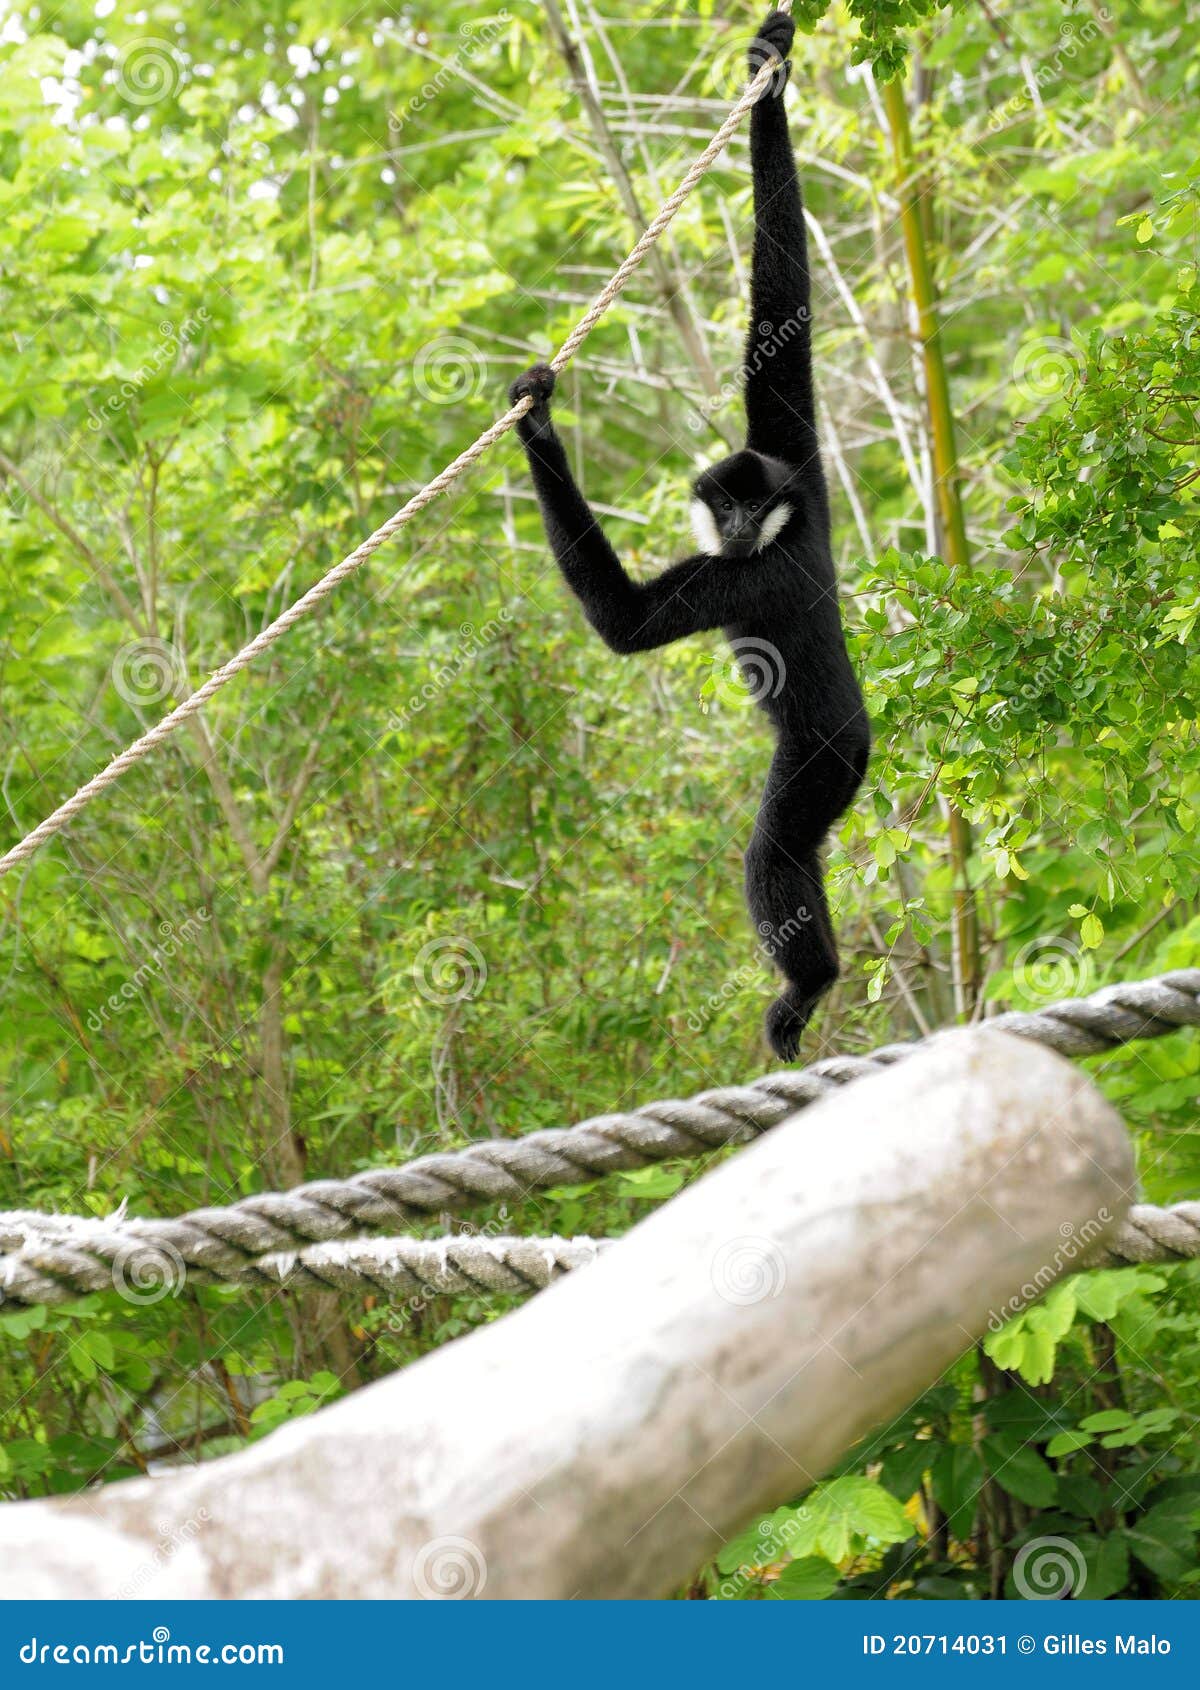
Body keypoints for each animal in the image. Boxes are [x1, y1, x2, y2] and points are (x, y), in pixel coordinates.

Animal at [507, 9, 868, 1061]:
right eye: (734, 504)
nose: (744, 522)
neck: (780, 524)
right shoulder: (800, 467)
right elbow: (782, 319)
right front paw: (772, 67)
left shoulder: (743, 573)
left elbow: (627, 624)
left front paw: (540, 425)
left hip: (825, 757)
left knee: (777, 853)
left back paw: (809, 983)